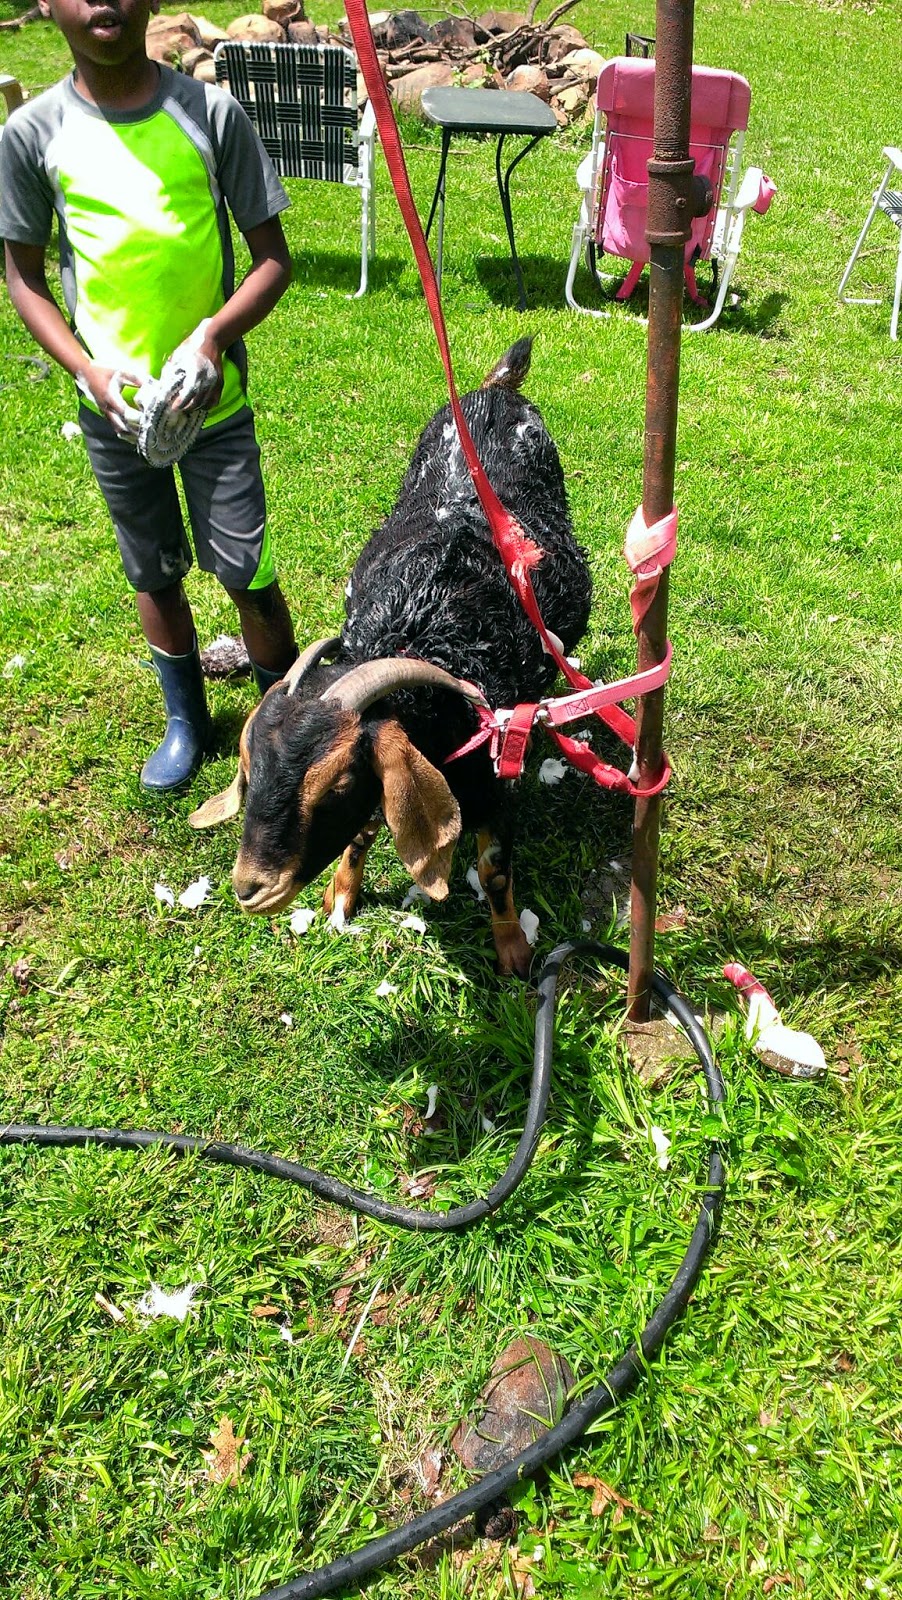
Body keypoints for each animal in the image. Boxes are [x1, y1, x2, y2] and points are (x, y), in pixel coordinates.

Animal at [190, 337, 592, 976]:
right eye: (250, 767)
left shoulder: (488, 782)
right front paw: (341, 895)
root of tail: (494, 390)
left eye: (336, 785)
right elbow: (361, 833)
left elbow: (494, 869)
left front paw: (513, 951)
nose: (252, 888)